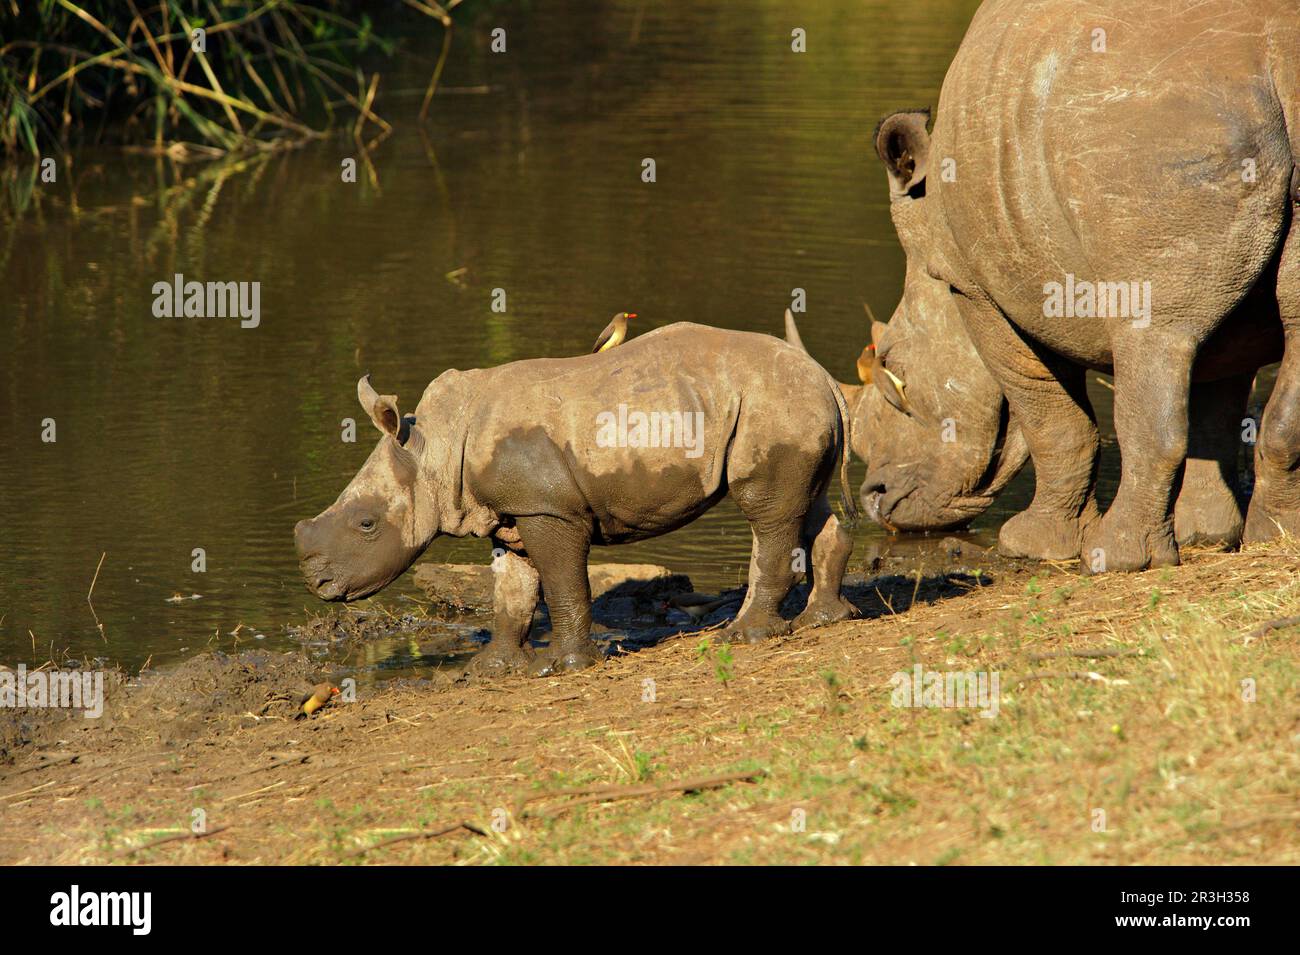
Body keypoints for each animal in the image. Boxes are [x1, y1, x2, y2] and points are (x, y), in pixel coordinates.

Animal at [293, 323, 859, 676]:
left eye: (366, 524)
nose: (315, 582)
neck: (437, 447)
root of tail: (825, 377)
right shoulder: (512, 512)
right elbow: (513, 593)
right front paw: (490, 670)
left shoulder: (549, 508)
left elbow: (564, 583)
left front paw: (562, 666)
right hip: (789, 405)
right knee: (808, 504)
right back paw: (825, 620)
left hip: (772, 404)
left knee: (767, 511)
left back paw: (745, 636)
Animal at [855, 0, 1299, 571]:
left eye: (895, 367)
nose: (875, 497)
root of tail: (1280, 62)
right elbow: (1214, 406)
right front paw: (1208, 535)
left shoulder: (976, 289)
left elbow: (1050, 419)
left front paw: (1035, 545)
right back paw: (1277, 538)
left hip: (1150, 139)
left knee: (1150, 335)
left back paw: (1118, 558)